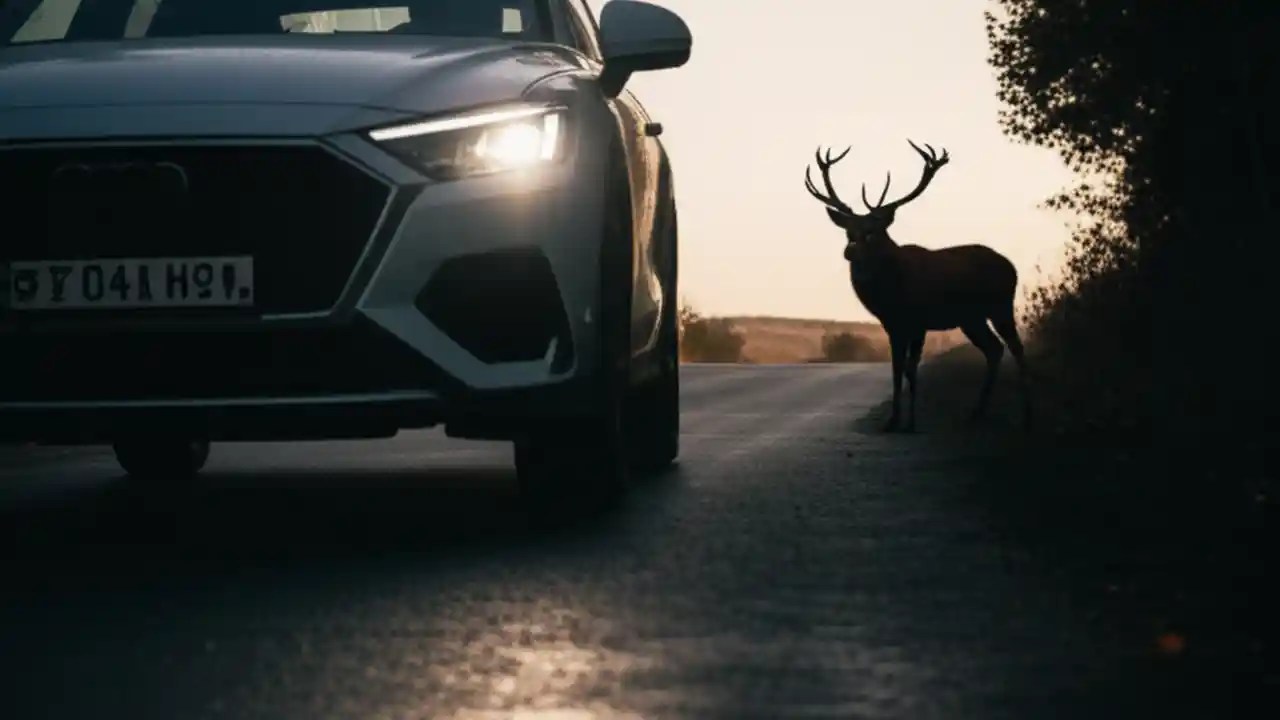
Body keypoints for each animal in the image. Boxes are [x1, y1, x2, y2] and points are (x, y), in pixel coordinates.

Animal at [804, 140, 1032, 433]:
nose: (850, 251)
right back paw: (977, 412)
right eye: (849, 232)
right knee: (994, 349)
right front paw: (893, 421)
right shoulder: (893, 325)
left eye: (871, 232)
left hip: (1000, 304)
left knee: (1016, 348)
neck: (891, 292)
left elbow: (910, 369)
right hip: (972, 318)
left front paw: (910, 422)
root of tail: (1011, 266)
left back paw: (1026, 416)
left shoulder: (918, 320)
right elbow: (897, 369)